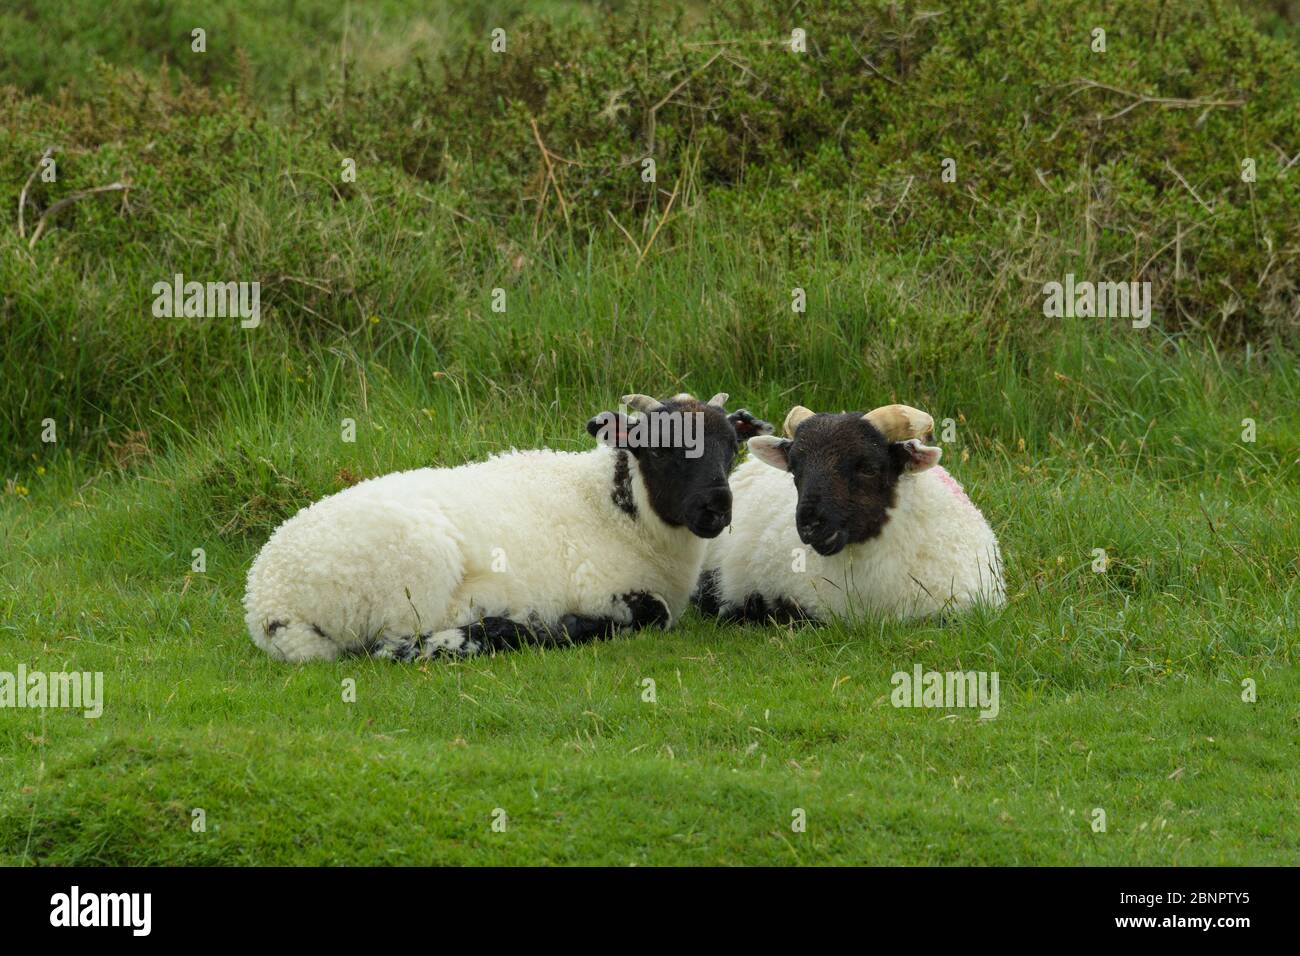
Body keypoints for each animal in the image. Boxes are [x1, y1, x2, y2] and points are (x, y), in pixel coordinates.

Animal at [243, 392, 772, 661]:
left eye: (732, 446)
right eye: (661, 449)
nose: (717, 510)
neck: (615, 509)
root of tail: (269, 602)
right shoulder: (606, 588)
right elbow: (655, 614)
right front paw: (572, 626)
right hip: (412, 585)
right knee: (391, 648)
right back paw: (508, 631)